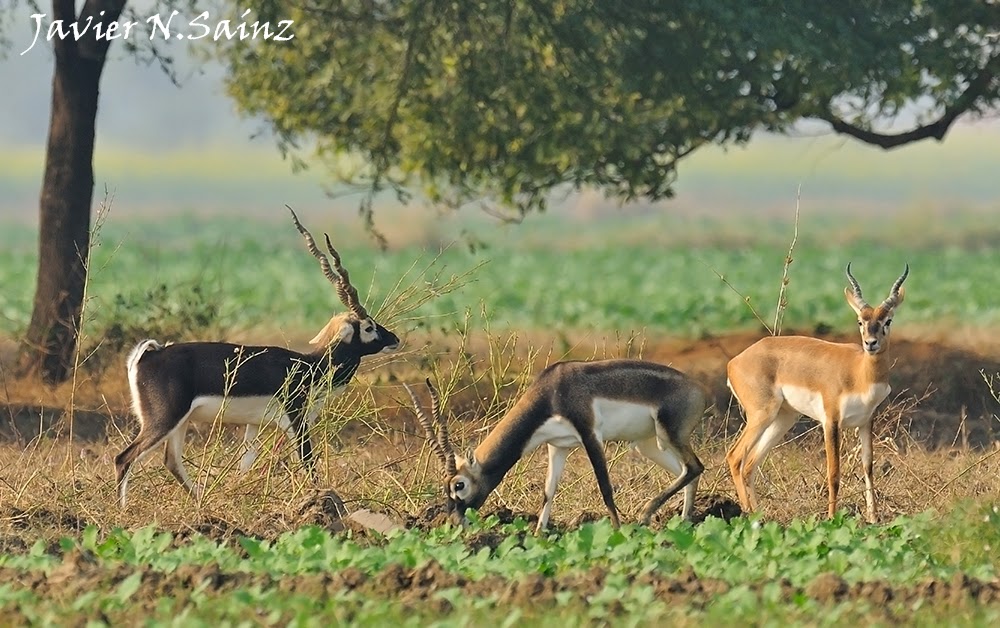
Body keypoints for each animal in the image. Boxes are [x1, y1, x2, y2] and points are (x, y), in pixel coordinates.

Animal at [114, 207, 401, 507]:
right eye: (368, 326)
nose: (394, 339)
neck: (311, 366)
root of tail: (149, 355)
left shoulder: (254, 425)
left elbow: (245, 466)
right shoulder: (296, 419)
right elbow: (309, 463)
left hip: (180, 422)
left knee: (172, 462)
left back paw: (203, 503)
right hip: (163, 419)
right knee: (124, 458)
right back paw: (123, 511)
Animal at [404, 359, 708, 534]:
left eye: (460, 485)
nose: (456, 522)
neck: (552, 391)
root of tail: (699, 389)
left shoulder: (590, 435)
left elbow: (605, 488)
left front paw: (618, 532)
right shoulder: (557, 446)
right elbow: (548, 492)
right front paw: (538, 536)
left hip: (668, 436)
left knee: (695, 467)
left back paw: (646, 515)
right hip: (648, 445)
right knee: (687, 471)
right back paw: (683, 524)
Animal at [726, 263, 909, 523]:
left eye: (888, 321)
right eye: (860, 321)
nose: (870, 343)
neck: (860, 372)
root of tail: (734, 362)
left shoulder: (865, 422)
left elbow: (868, 467)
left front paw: (873, 518)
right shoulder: (830, 421)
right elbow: (834, 472)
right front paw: (832, 518)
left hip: (783, 419)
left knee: (750, 463)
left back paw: (759, 516)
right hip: (761, 415)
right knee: (735, 457)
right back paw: (749, 516)